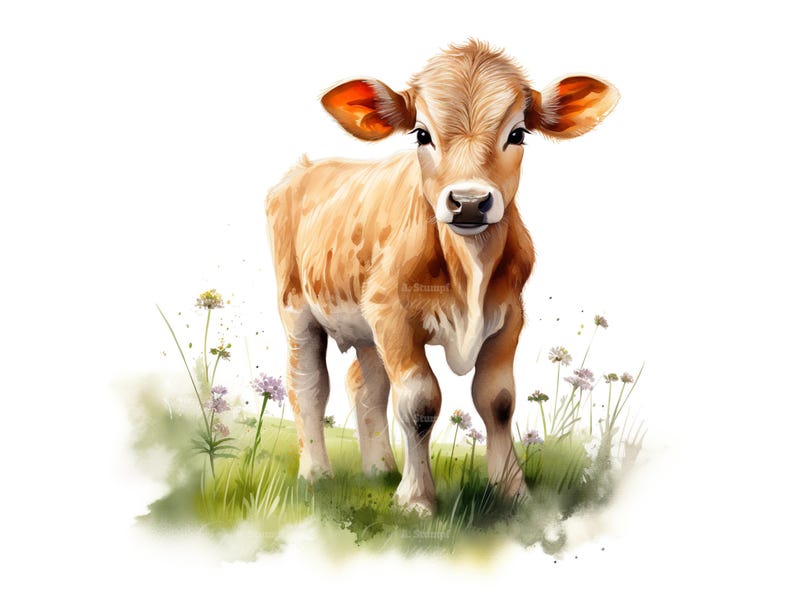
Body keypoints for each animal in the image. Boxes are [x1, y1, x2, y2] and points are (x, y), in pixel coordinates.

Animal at [265, 40, 618, 514]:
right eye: (421, 134)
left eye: (517, 134)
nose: (468, 202)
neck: (468, 270)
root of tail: (307, 167)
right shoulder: (394, 316)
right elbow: (419, 402)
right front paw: (416, 500)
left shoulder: (509, 316)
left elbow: (498, 400)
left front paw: (513, 493)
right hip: (297, 308)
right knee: (307, 385)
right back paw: (317, 475)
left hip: (365, 326)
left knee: (366, 386)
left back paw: (380, 470)